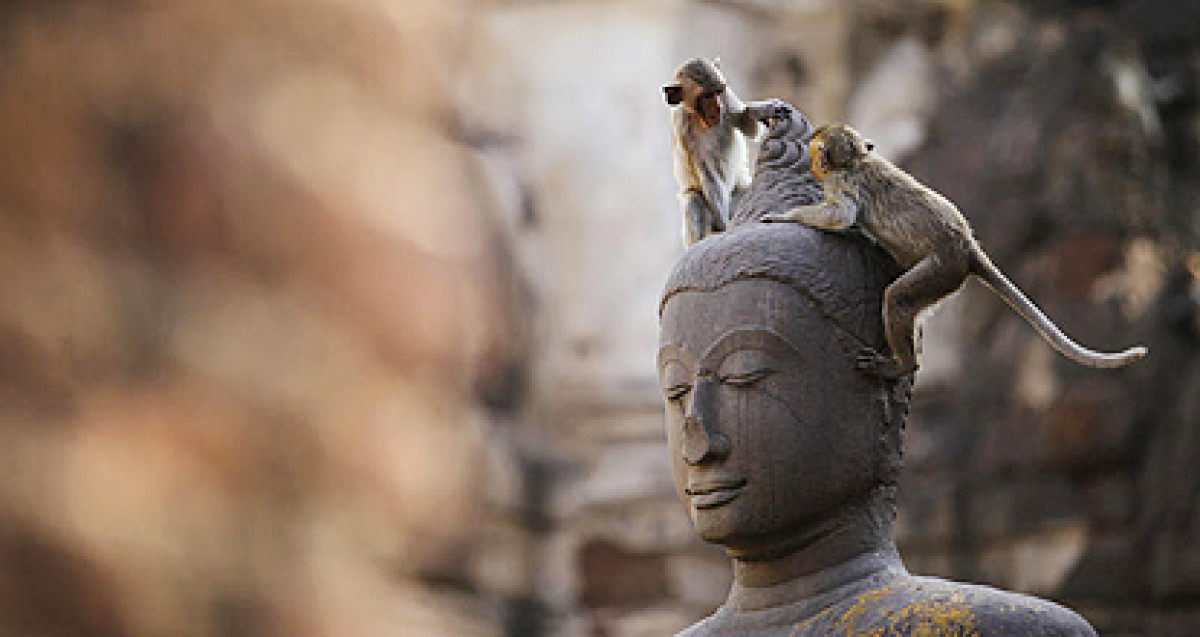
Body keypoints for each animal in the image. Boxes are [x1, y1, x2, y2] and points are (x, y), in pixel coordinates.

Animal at [664, 57, 789, 247]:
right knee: (693, 199)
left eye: (718, 91)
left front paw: (761, 109)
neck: (700, 120)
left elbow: (749, 128)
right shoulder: (684, 130)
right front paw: (727, 227)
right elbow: (709, 174)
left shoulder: (727, 98)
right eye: (706, 96)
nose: (717, 107)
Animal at [763, 124, 1148, 379]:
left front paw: (783, 216)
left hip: (941, 269)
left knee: (897, 299)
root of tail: (967, 245)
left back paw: (902, 366)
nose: (811, 161)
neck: (855, 160)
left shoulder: (841, 183)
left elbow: (841, 214)